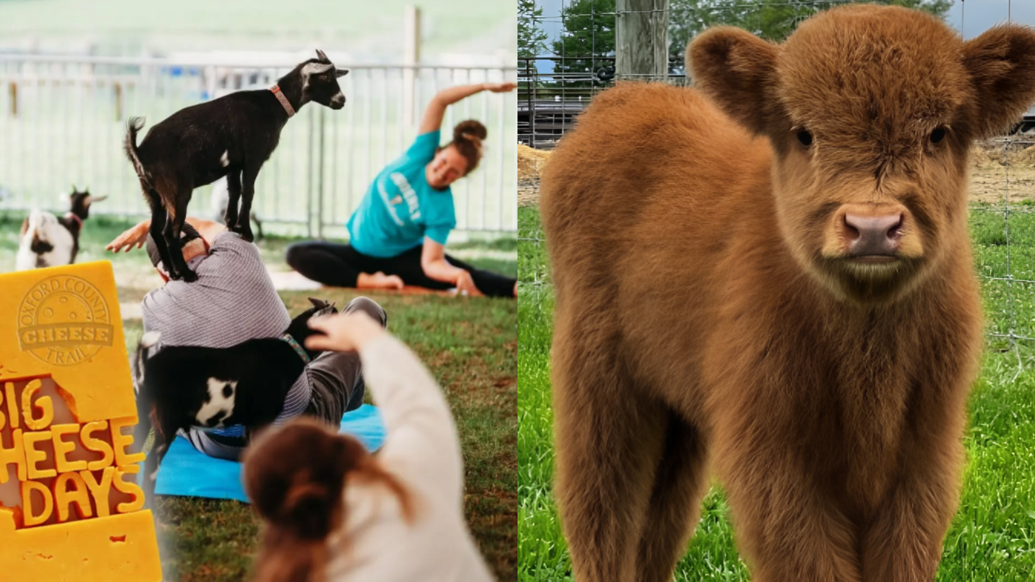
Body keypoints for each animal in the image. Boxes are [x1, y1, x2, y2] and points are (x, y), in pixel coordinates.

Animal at [124, 50, 347, 281]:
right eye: (325, 76)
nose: (342, 100)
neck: (273, 105)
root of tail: (140, 151)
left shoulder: (233, 164)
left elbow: (234, 190)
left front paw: (231, 225)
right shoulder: (253, 158)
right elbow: (248, 192)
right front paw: (246, 232)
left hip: (152, 193)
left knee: (155, 230)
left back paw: (173, 272)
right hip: (177, 191)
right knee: (170, 232)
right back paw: (186, 273)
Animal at [133, 298, 338, 497]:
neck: (289, 350)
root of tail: (147, 365)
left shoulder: (250, 425)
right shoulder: (262, 420)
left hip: (143, 415)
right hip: (166, 422)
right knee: (151, 464)